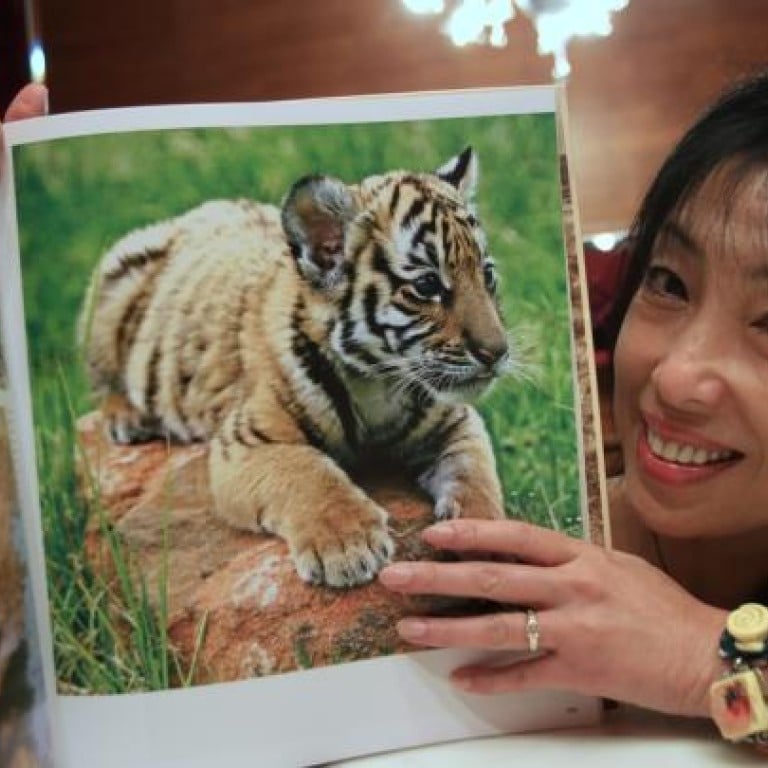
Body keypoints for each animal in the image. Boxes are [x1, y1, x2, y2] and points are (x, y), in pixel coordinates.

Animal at [80, 147, 517, 588]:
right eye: (427, 286)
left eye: (487, 275)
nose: (497, 352)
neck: (377, 383)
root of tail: (205, 207)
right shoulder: (250, 439)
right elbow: (309, 471)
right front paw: (348, 546)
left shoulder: (457, 422)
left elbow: (477, 474)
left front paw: (487, 537)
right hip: (115, 277)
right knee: (105, 380)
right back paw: (129, 419)